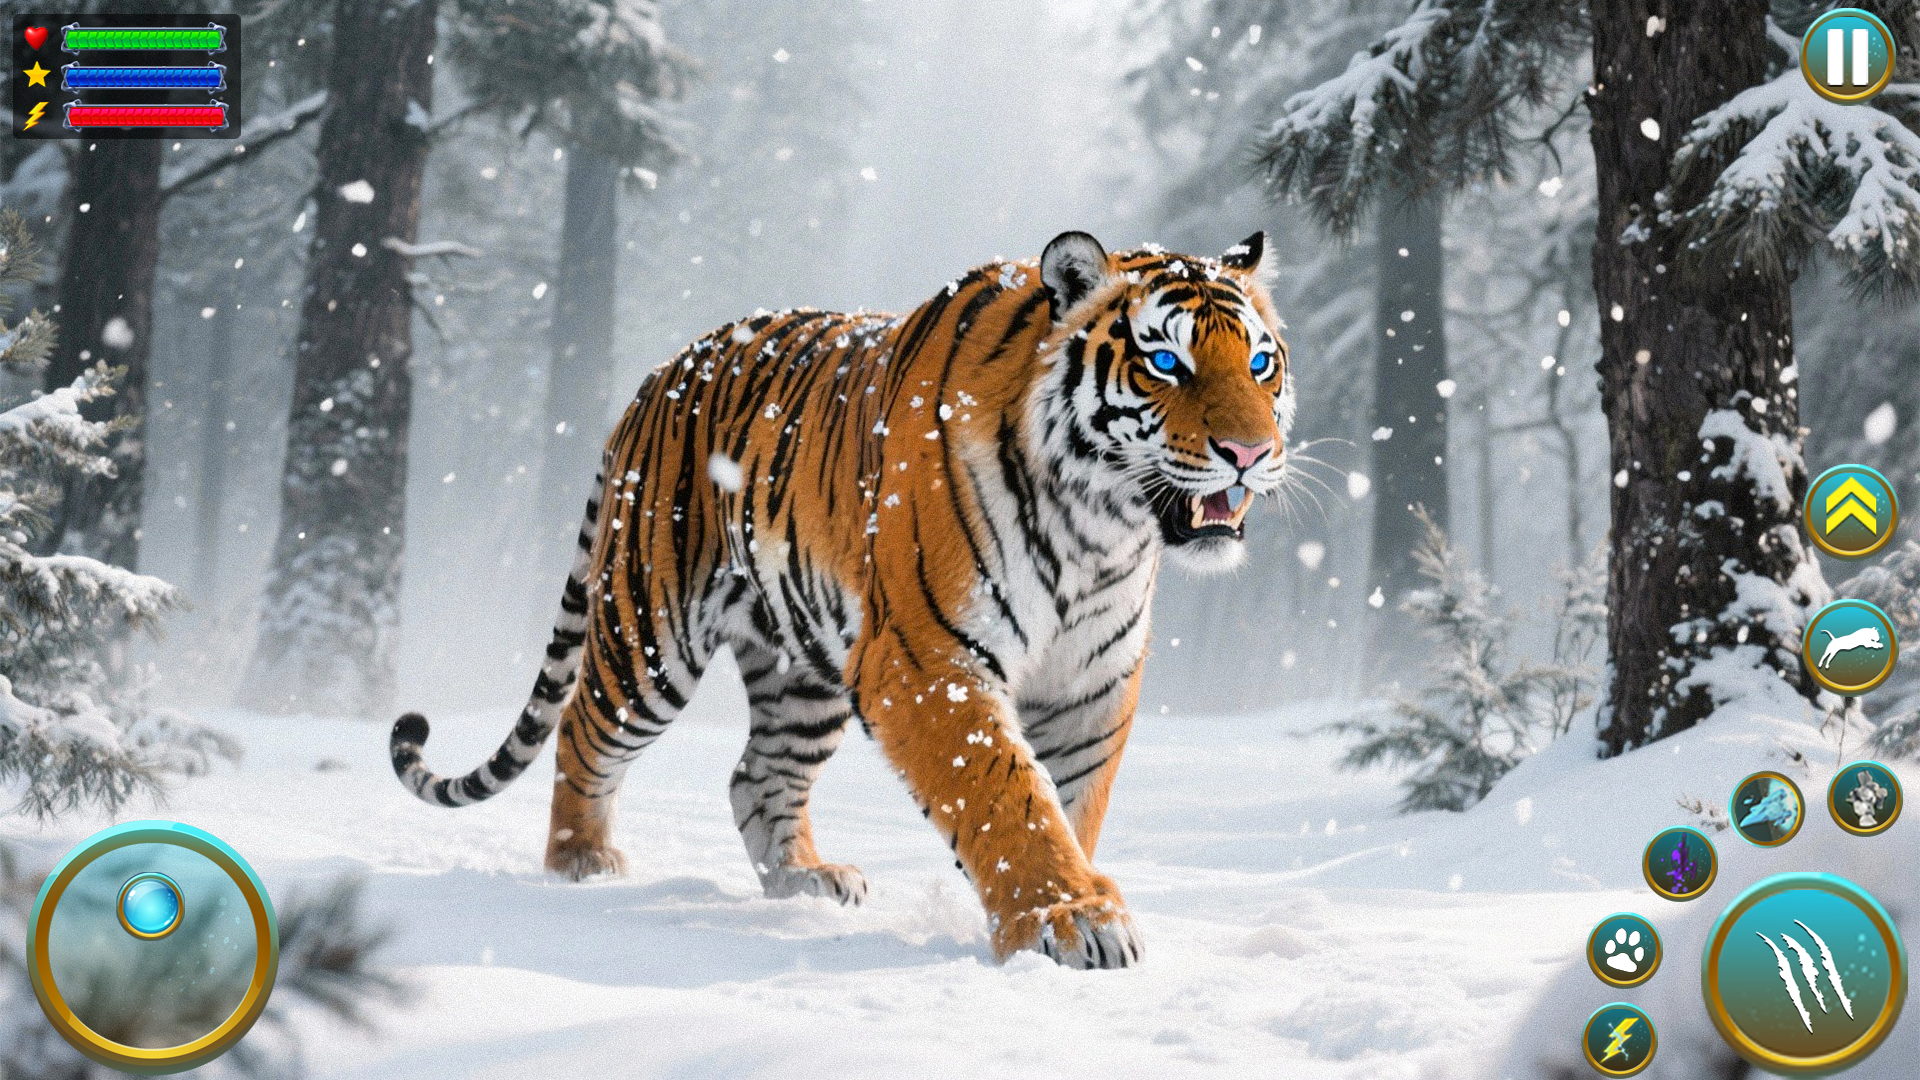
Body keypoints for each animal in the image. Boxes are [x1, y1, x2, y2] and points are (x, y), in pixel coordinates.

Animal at [390, 230, 1295, 969]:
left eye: (1261, 364)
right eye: (1166, 362)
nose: (1250, 452)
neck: (1100, 530)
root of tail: (655, 377)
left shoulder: (1090, 683)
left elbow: (1069, 802)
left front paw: (1061, 907)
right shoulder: (929, 660)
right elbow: (1009, 794)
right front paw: (1070, 921)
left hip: (805, 667)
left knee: (756, 774)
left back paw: (804, 880)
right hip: (651, 632)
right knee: (584, 728)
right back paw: (580, 862)